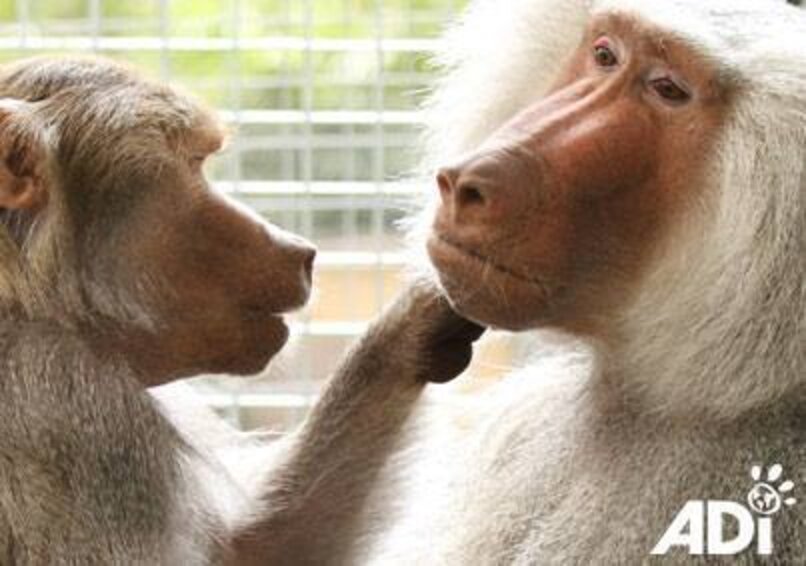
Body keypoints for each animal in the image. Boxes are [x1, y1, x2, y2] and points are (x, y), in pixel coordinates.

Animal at [0, 56, 484, 565]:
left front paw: (419, 324)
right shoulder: (68, 405)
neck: (33, 305)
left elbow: (258, 546)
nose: (300, 250)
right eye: (195, 163)